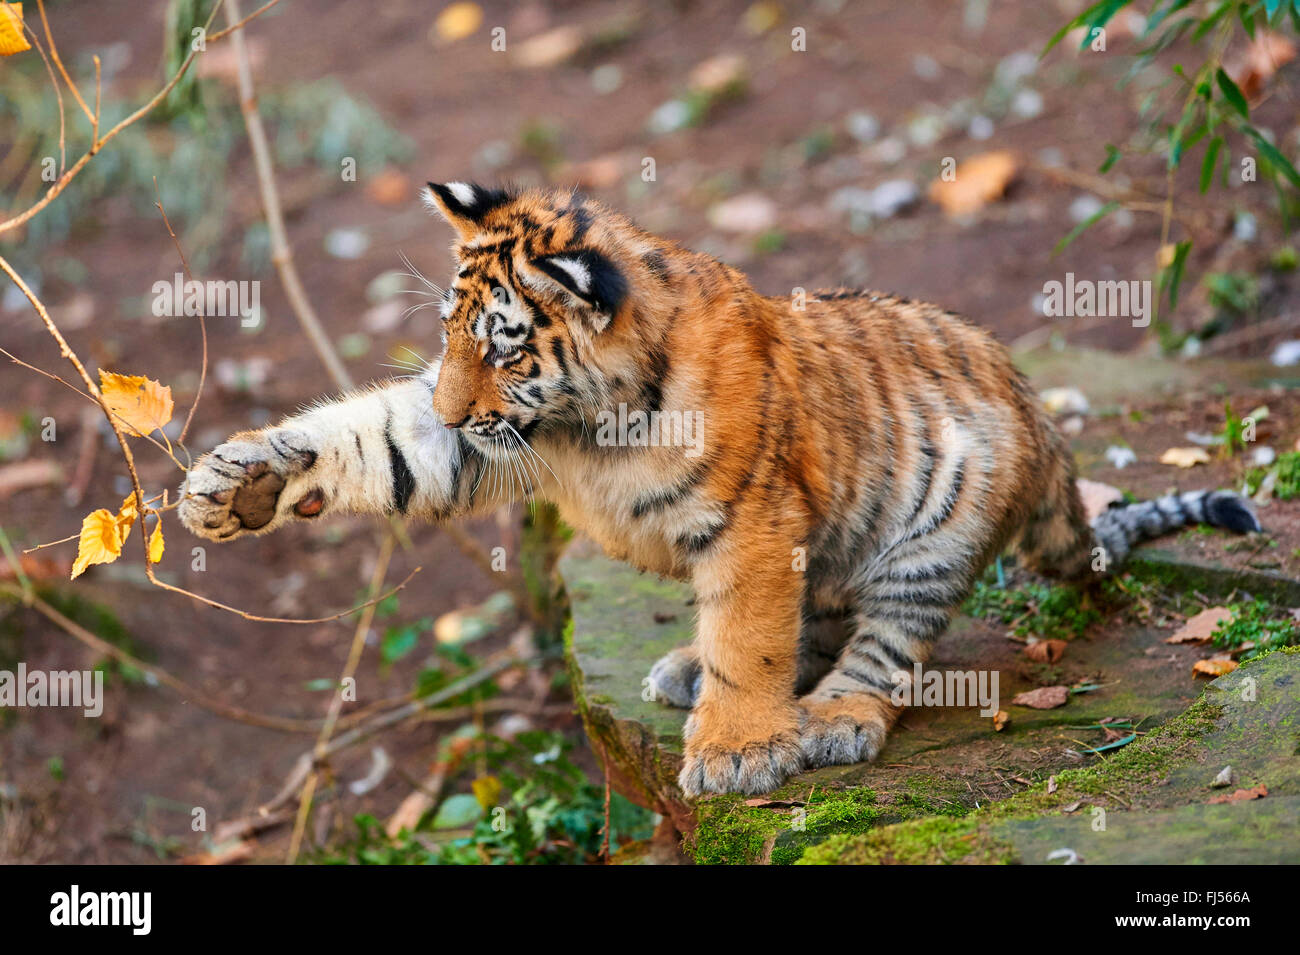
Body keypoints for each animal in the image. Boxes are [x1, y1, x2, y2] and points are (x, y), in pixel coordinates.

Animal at [179, 182, 1261, 797]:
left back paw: (828, 717)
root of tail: (1038, 416)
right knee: (819, 618)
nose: (451, 407)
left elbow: (750, 633)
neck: (585, 424)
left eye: (503, 343)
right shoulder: (489, 446)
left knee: (884, 647)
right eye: (449, 336)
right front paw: (238, 481)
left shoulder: (751, 520)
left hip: (935, 526)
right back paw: (692, 672)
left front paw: (740, 752)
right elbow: (374, 439)